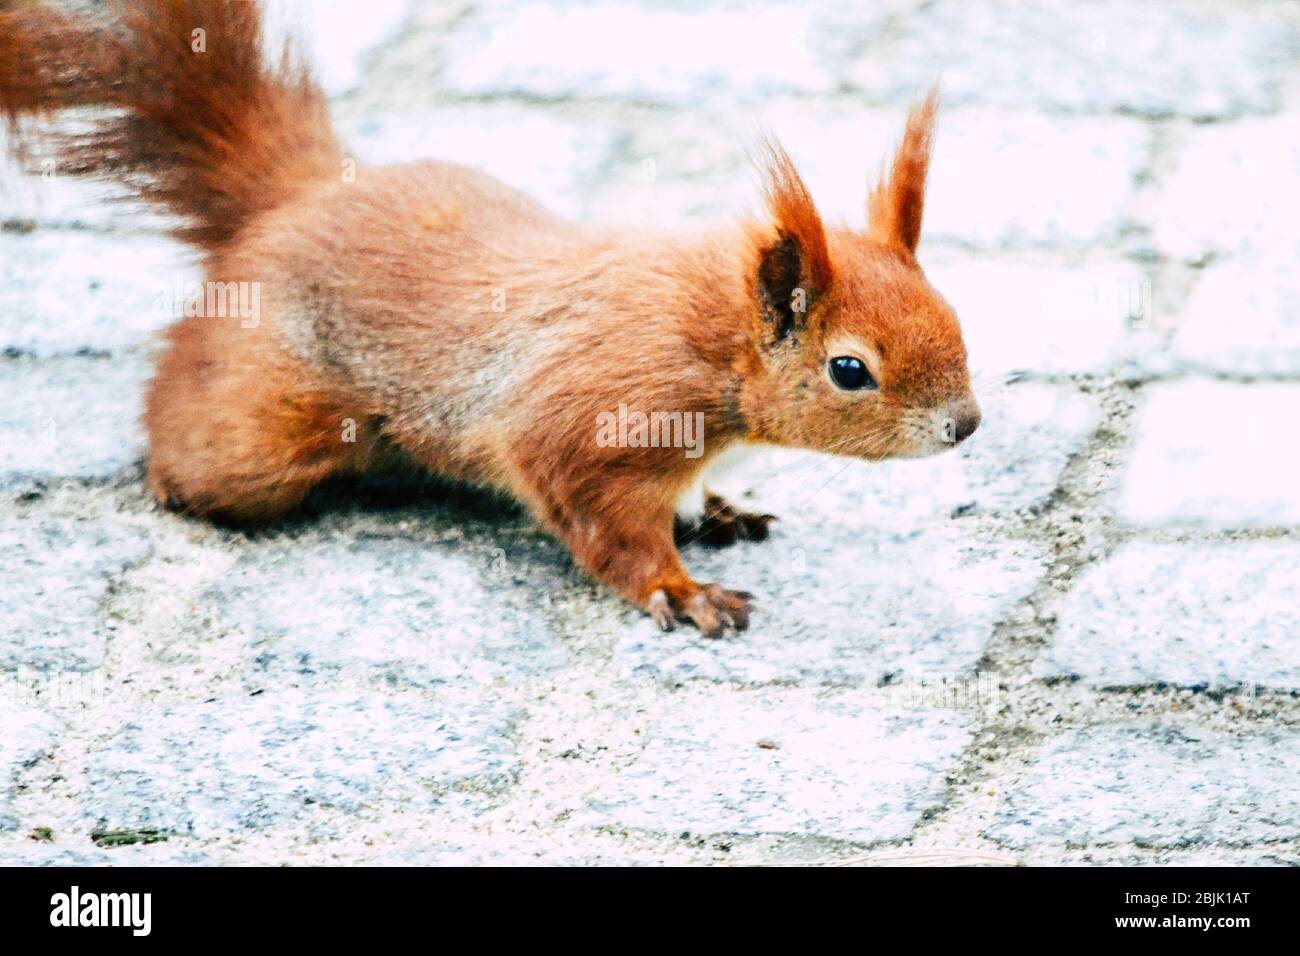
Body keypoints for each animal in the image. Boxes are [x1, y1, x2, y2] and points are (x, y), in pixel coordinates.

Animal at [0, 0, 980, 636]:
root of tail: (296, 196)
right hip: (264, 426)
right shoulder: (598, 418)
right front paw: (679, 589)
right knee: (202, 428)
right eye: (850, 370)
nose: (965, 425)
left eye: (954, 313)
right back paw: (172, 478)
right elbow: (602, 523)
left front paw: (717, 506)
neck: (712, 337)